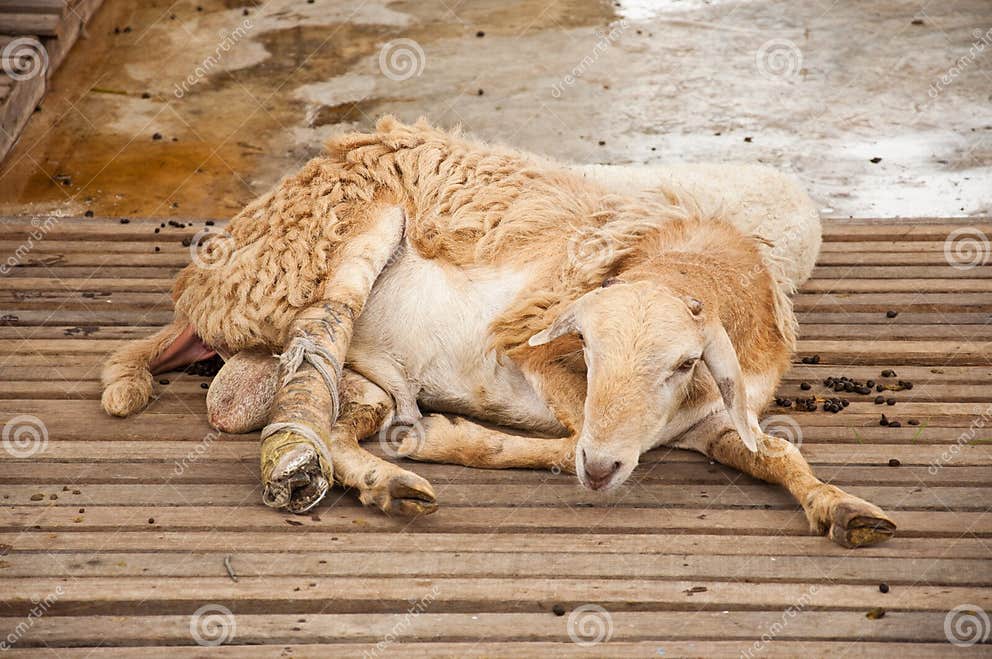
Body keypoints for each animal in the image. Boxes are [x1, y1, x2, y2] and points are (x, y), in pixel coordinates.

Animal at [100, 117, 894, 547]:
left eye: (680, 364)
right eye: (590, 349)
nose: (606, 470)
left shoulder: (713, 421)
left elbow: (780, 457)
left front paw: (847, 509)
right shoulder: (536, 352)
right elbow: (570, 442)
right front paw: (446, 438)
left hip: (354, 370)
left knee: (335, 418)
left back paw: (387, 481)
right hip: (350, 230)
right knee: (314, 359)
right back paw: (344, 463)